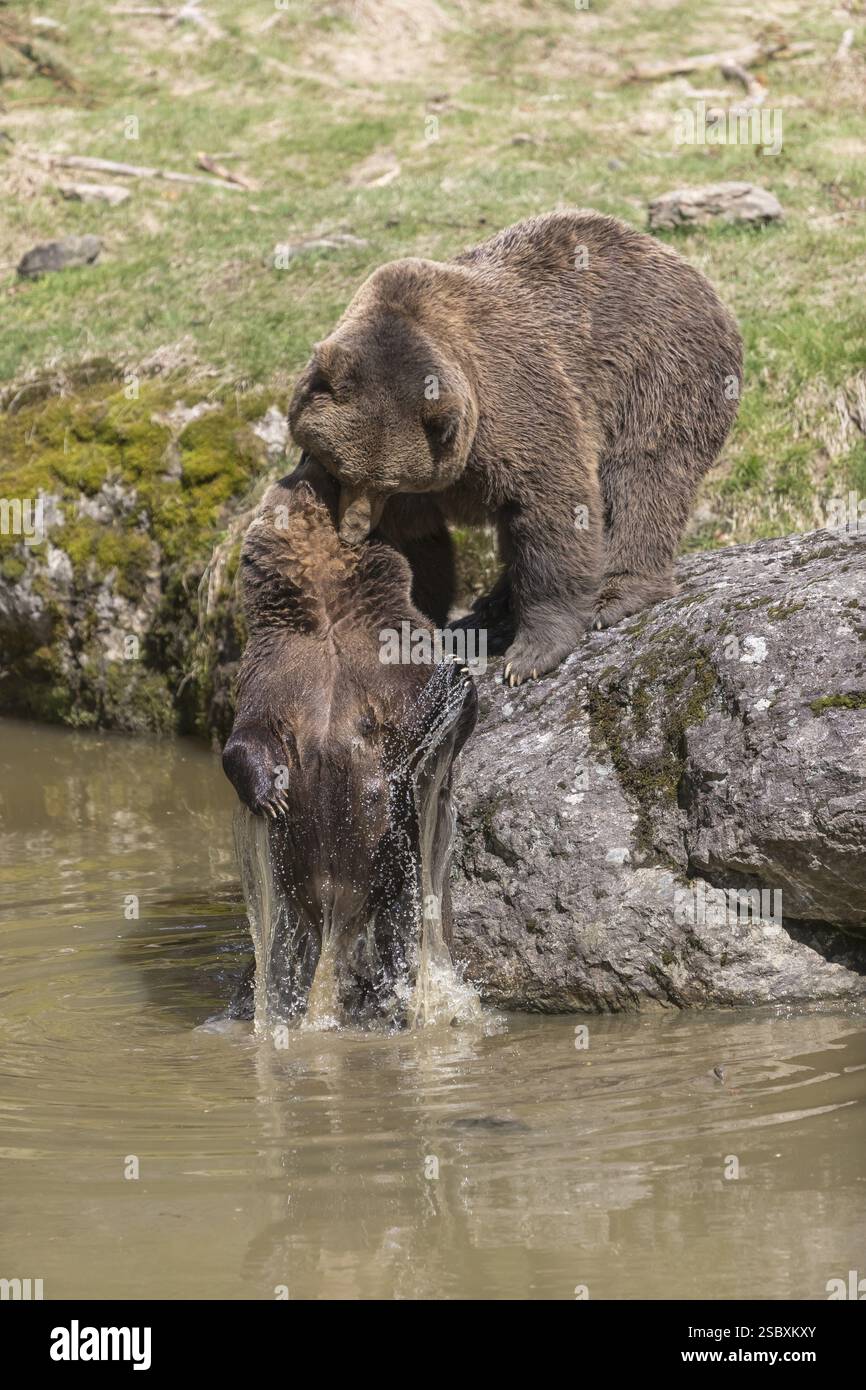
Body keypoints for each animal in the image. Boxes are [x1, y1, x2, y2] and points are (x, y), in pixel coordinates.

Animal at [222, 472, 477, 1023]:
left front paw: (439, 710)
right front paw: (272, 792)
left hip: (394, 875)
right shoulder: (276, 670)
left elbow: (441, 712)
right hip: (292, 896)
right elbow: (246, 736)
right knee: (282, 961)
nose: (302, 468)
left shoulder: (389, 657)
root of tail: (337, 914)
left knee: (401, 938)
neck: (327, 613)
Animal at [288, 209, 743, 684]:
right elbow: (420, 547)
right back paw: (496, 598)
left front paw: (528, 655)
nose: (353, 531)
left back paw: (617, 593)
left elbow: (552, 503)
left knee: (644, 476)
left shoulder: (513, 404)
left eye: (386, 483)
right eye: (340, 471)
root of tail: (681, 262)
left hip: (659, 370)